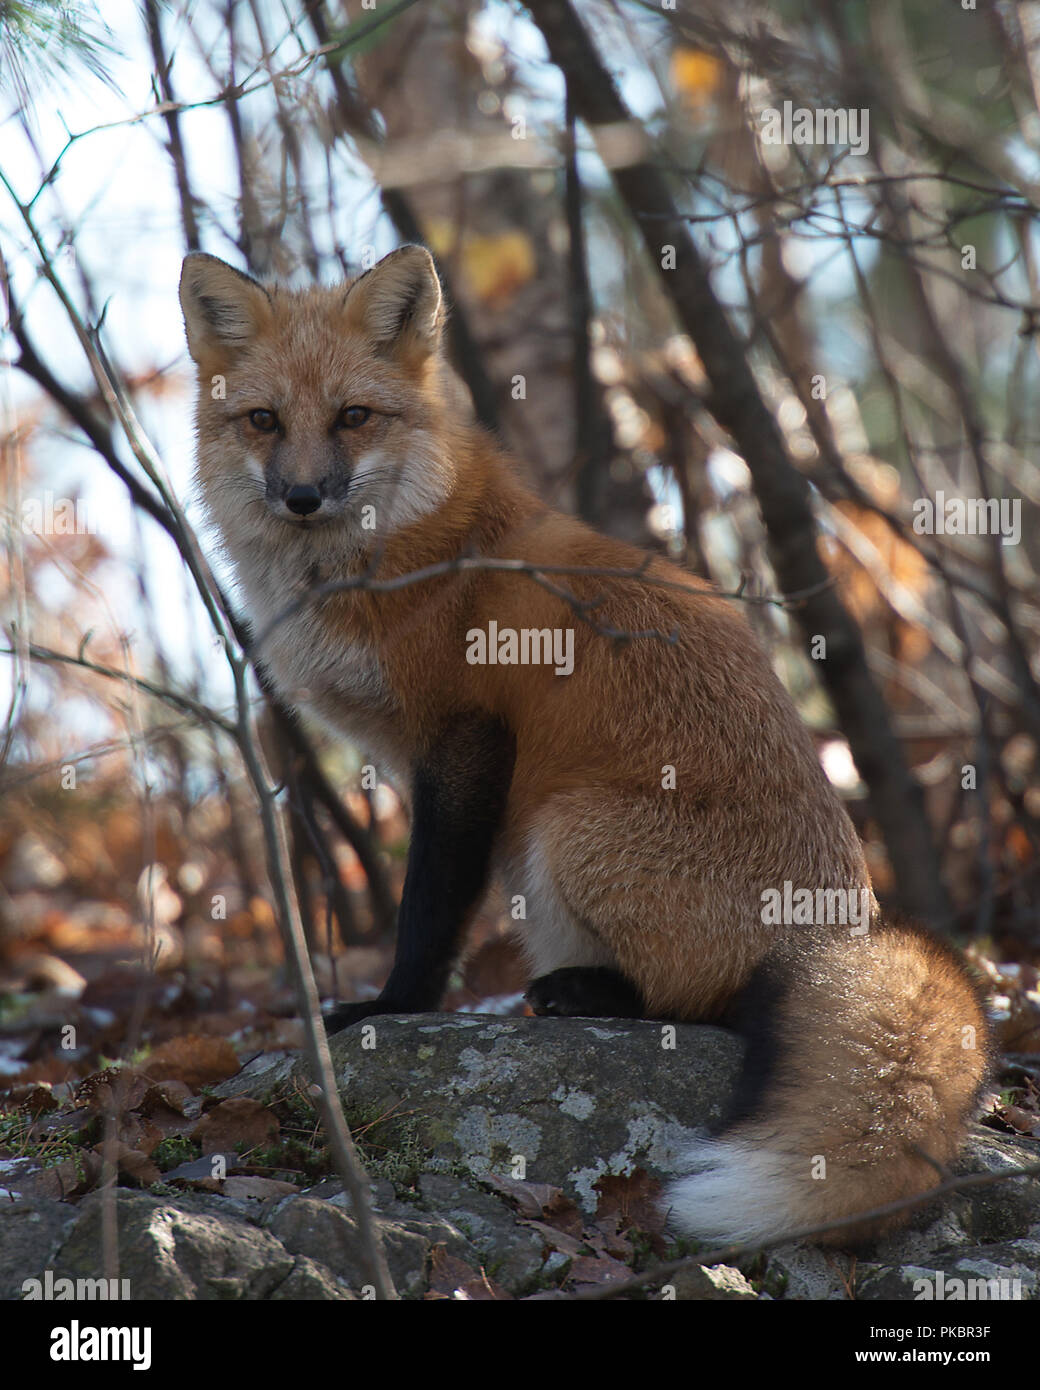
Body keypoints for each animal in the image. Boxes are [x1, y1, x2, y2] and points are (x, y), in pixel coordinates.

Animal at [179, 244, 990, 1248]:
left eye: (352, 417)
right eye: (263, 421)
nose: (300, 496)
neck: (406, 555)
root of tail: (846, 929)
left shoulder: (465, 740)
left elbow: (429, 907)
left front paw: (392, 1005)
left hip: (568, 826)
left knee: (708, 1008)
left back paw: (586, 997)